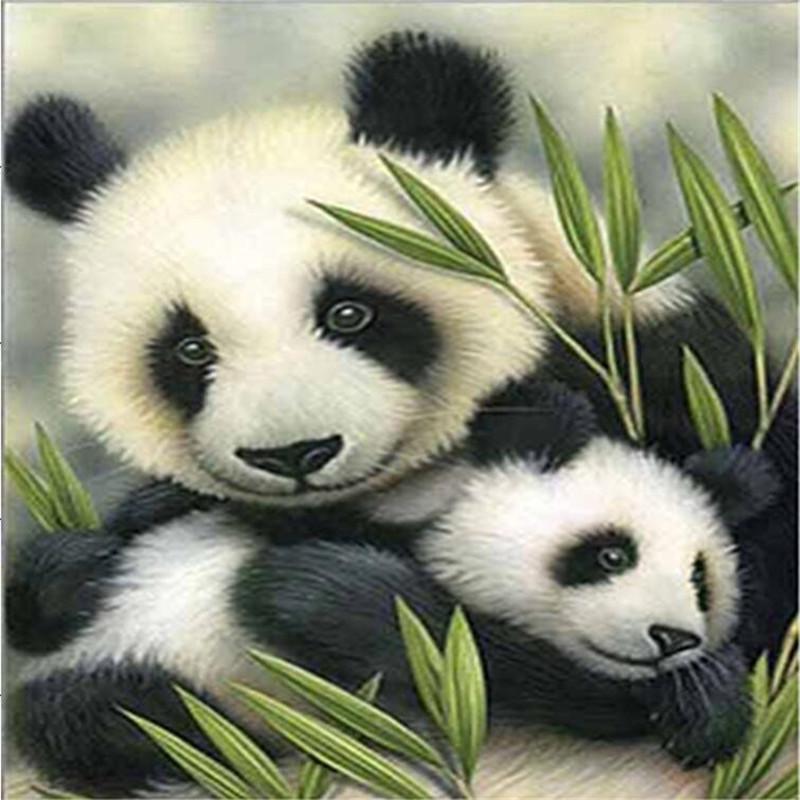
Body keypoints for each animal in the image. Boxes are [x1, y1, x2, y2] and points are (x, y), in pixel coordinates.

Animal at [10, 383, 777, 797]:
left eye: (701, 579)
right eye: (611, 553)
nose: (674, 638)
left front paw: (705, 698)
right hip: (126, 679)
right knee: (109, 713)